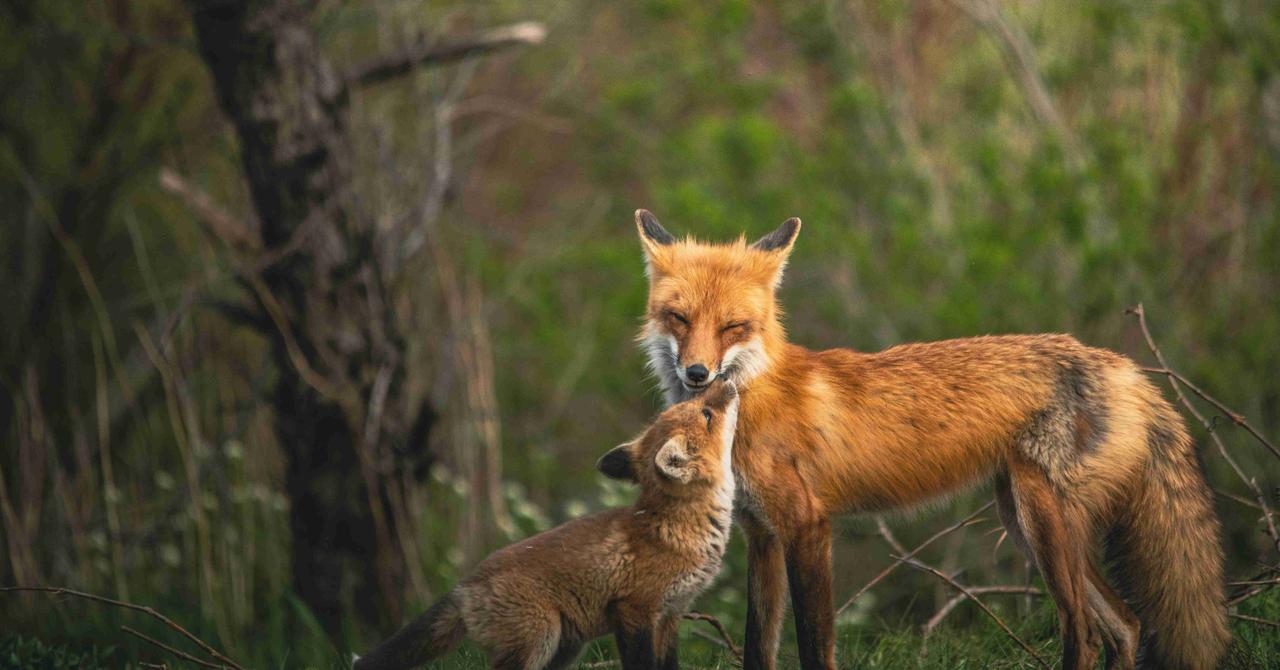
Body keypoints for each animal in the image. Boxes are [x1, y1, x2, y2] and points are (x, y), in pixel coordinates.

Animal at [354, 380, 740, 670]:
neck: (677, 529)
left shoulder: (672, 614)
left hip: (564, 647)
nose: (721, 380)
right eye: (707, 414)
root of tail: (463, 586)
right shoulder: (634, 611)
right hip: (540, 638)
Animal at [603, 209, 1228, 670]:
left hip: (1044, 524)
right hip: (1026, 524)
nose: (697, 375)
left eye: (733, 326)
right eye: (679, 318)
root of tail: (1124, 366)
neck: (752, 402)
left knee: (1086, 634)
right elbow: (760, 647)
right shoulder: (762, 534)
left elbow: (814, 644)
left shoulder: (807, 525)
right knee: (1127, 624)